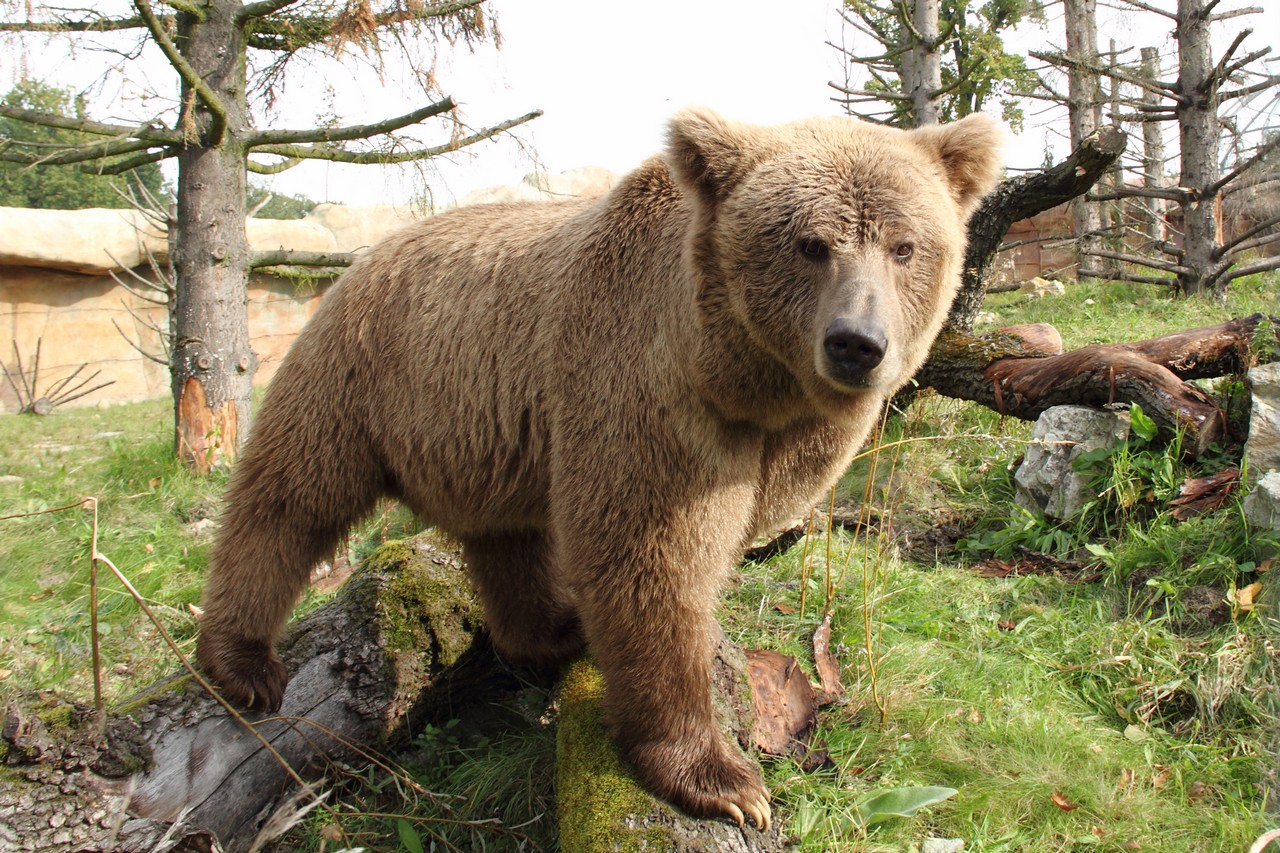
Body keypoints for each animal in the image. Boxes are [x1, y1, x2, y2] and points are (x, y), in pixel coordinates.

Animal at [197, 104, 998, 824]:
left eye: (905, 246)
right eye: (810, 244)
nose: (857, 343)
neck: (743, 380)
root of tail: (366, 254)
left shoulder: (775, 438)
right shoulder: (646, 390)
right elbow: (648, 559)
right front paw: (721, 780)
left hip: (478, 436)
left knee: (506, 540)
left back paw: (551, 629)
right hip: (362, 373)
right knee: (290, 497)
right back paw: (243, 662)